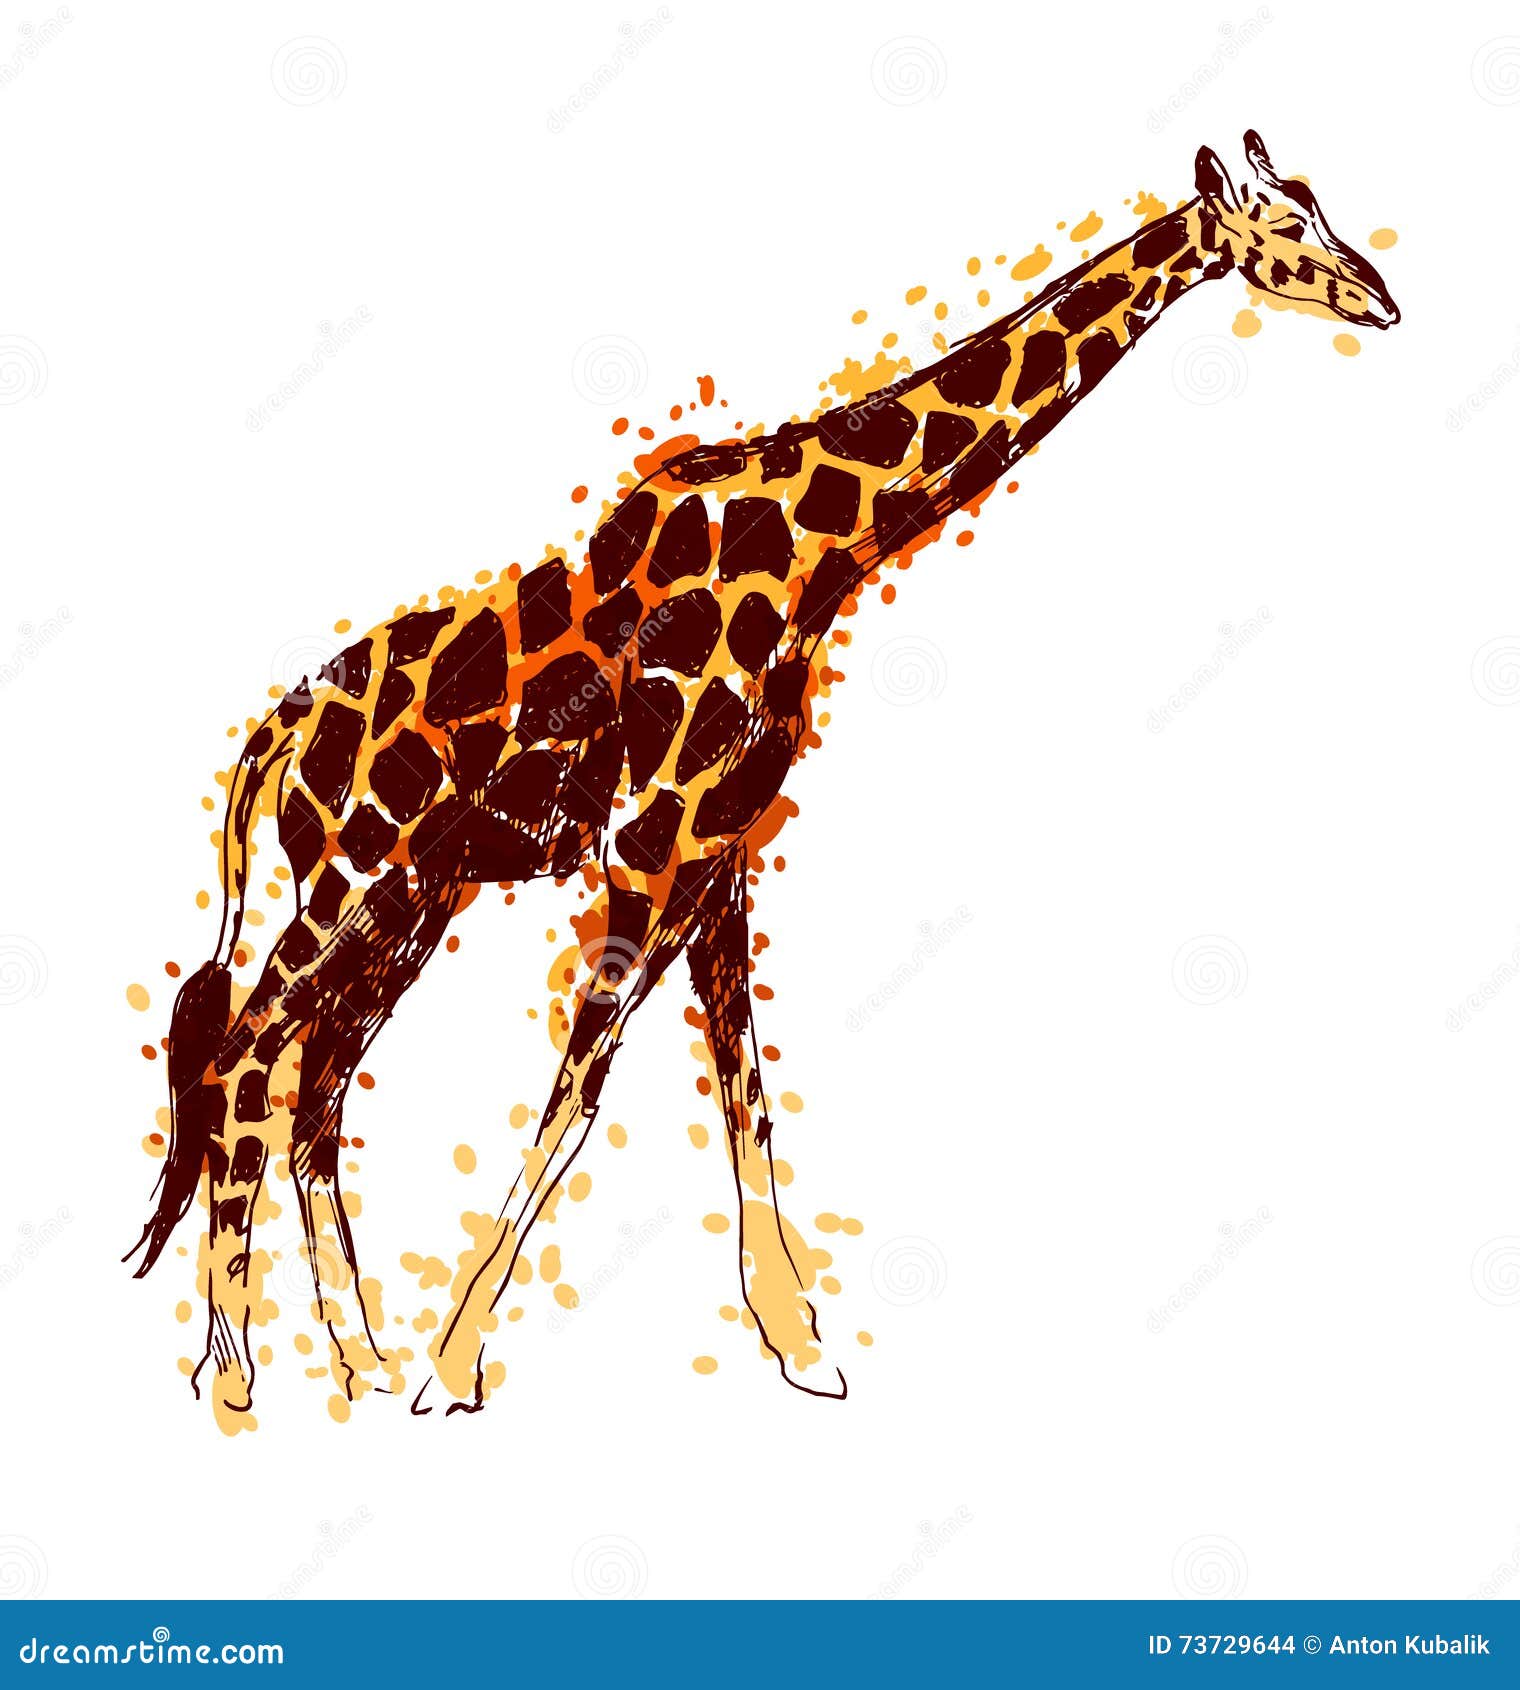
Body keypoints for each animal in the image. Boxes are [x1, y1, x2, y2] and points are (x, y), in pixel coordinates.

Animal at [129, 131, 1398, 1427]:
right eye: (1281, 227)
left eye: (1319, 207)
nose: (1380, 300)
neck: (818, 548)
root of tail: (270, 737)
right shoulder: (654, 844)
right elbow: (579, 1096)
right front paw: (455, 1367)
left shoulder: (720, 849)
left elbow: (741, 1087)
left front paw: (799, 1346)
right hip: (347, 873)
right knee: (243, 1056)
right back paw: (235, 1375)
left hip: (413, 899)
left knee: (314, 1085)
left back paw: (356, 1360)